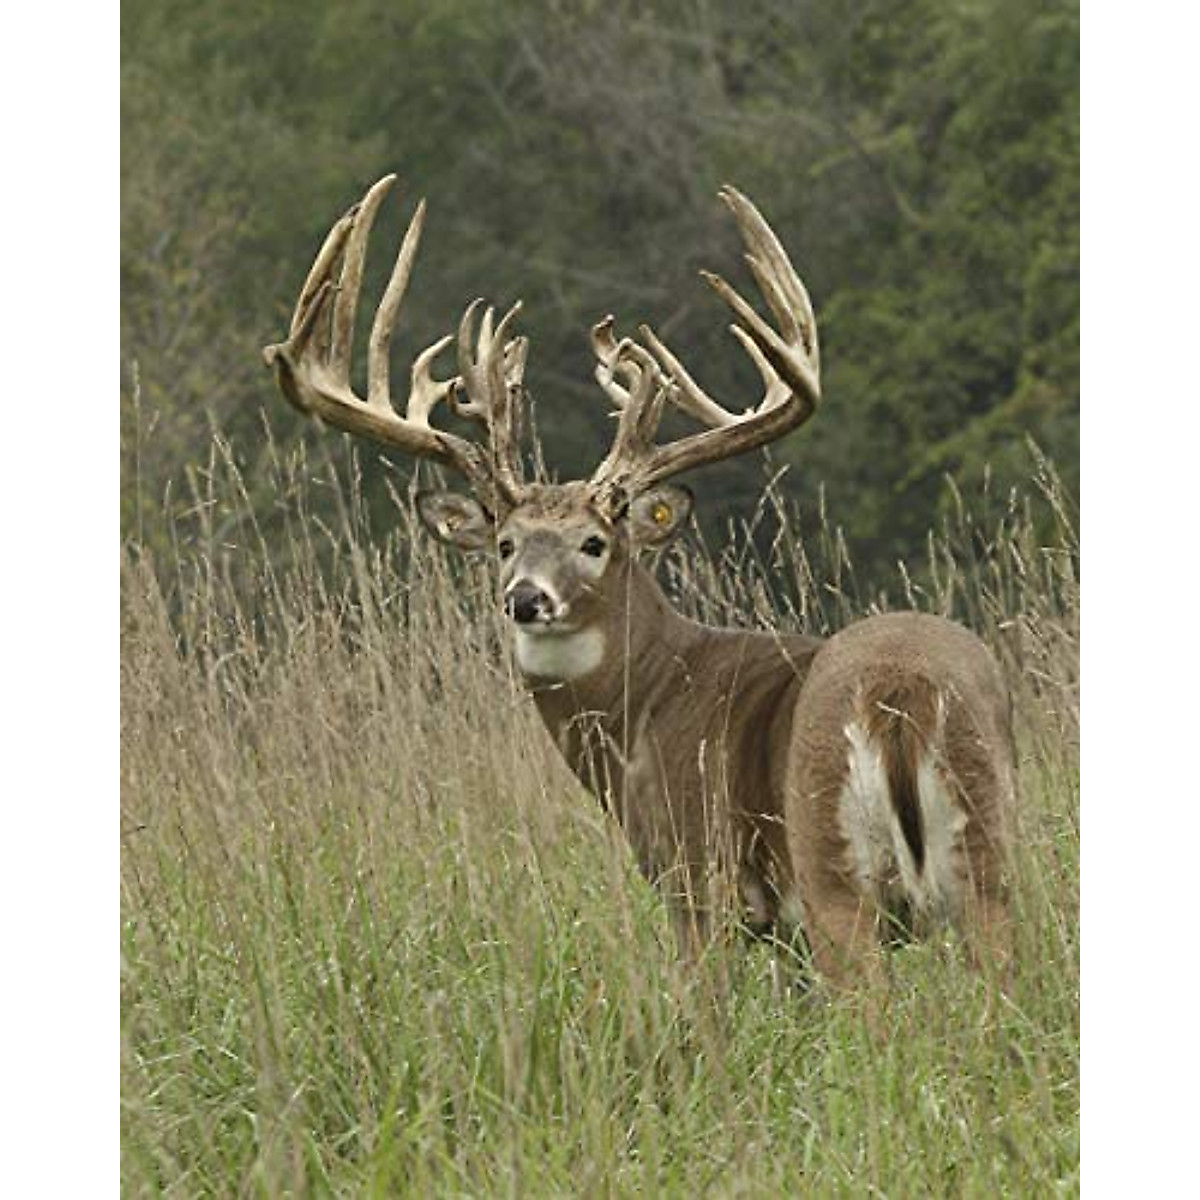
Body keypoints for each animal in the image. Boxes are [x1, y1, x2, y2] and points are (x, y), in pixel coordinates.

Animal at [262, 174, 1016, 992]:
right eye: (504, 544)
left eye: (595, 543)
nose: (526, 598)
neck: (649, 700)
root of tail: (897, 695)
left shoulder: (695, 881)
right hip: (989, 857)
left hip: (832, 874)